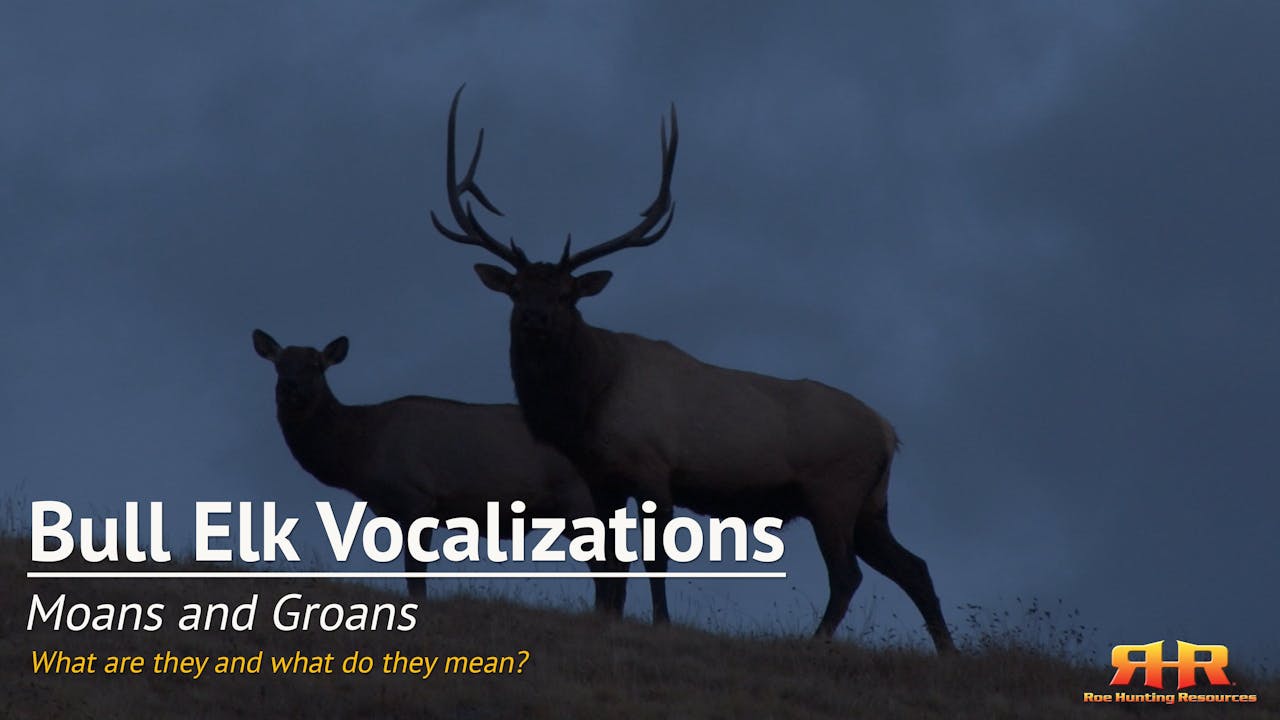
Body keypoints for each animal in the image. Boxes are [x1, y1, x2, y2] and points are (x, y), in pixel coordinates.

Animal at [251, 328, 643, 613]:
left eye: (317, 365)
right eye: (279, 364)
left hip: (579, 500)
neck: (361, 452)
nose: (290, 388)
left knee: (609, 564)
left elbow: (415, 573)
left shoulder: (416, 496)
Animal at [429, 87, 956, 653]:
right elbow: (609, 563)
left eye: (568, 295)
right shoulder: (601, 479)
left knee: (848, 574)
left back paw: (816, 642)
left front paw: (660, 624)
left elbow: (653, 559)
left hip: (833, 489)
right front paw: (606, 618)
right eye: (517, 290)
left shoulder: (654, 467)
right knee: (914, 566)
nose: (534, 318)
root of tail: (888, 432)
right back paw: (946, 650)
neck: (589, 401)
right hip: (871, 504)